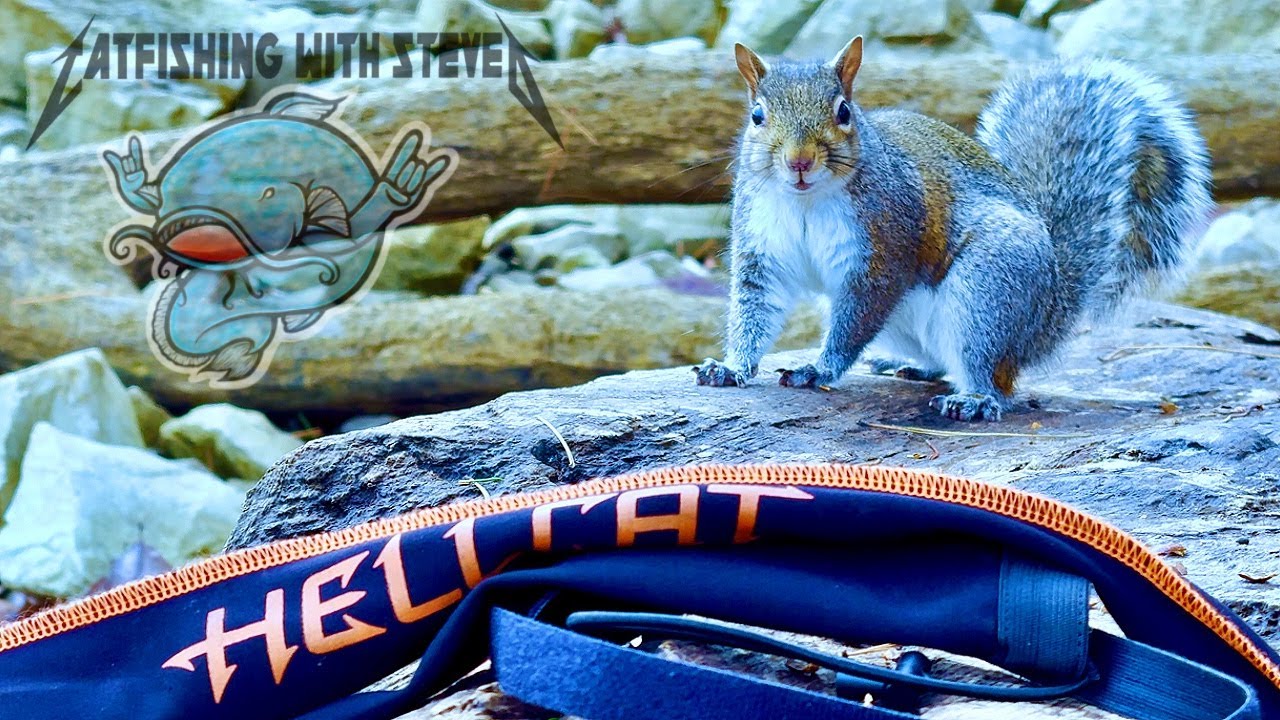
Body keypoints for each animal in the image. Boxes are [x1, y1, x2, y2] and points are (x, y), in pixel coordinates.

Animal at [693, 36, 1212, 421]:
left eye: (843, 111)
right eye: (757, 116)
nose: (799, 161)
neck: (805, 200)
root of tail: (1049, 314)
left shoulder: (884, 249)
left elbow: (853, 323)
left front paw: (818, 368)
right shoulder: (762, 251)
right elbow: (754, 311)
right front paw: (731, 367)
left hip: (988, 291)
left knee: (992, 376)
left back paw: (974, 399)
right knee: (941, 360)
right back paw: (909, 366)